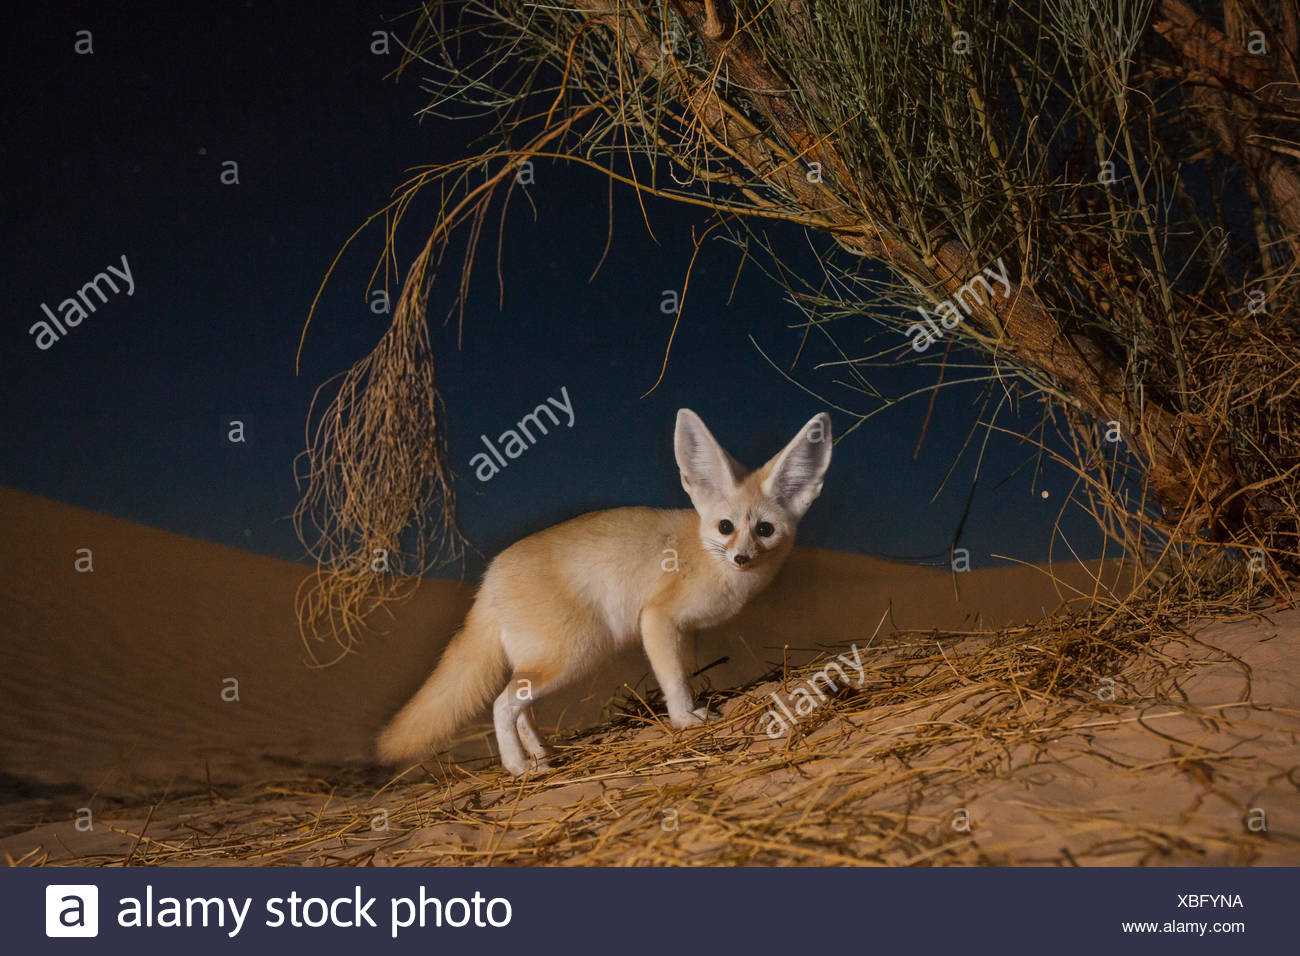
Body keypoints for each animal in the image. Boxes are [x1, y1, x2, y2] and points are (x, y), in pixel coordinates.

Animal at [376, 408, 833, 776]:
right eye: (726, 527)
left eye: (764, 530)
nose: (740, 557)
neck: (705, 554)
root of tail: (488, 578)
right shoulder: (657, 618)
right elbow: (673, 680)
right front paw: (685, 719)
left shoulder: (682, 630)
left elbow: (683, 671)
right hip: (573, 654)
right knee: (502, 705)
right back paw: (518, 767)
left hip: (542, 661)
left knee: (520, 708)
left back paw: (541, 756)